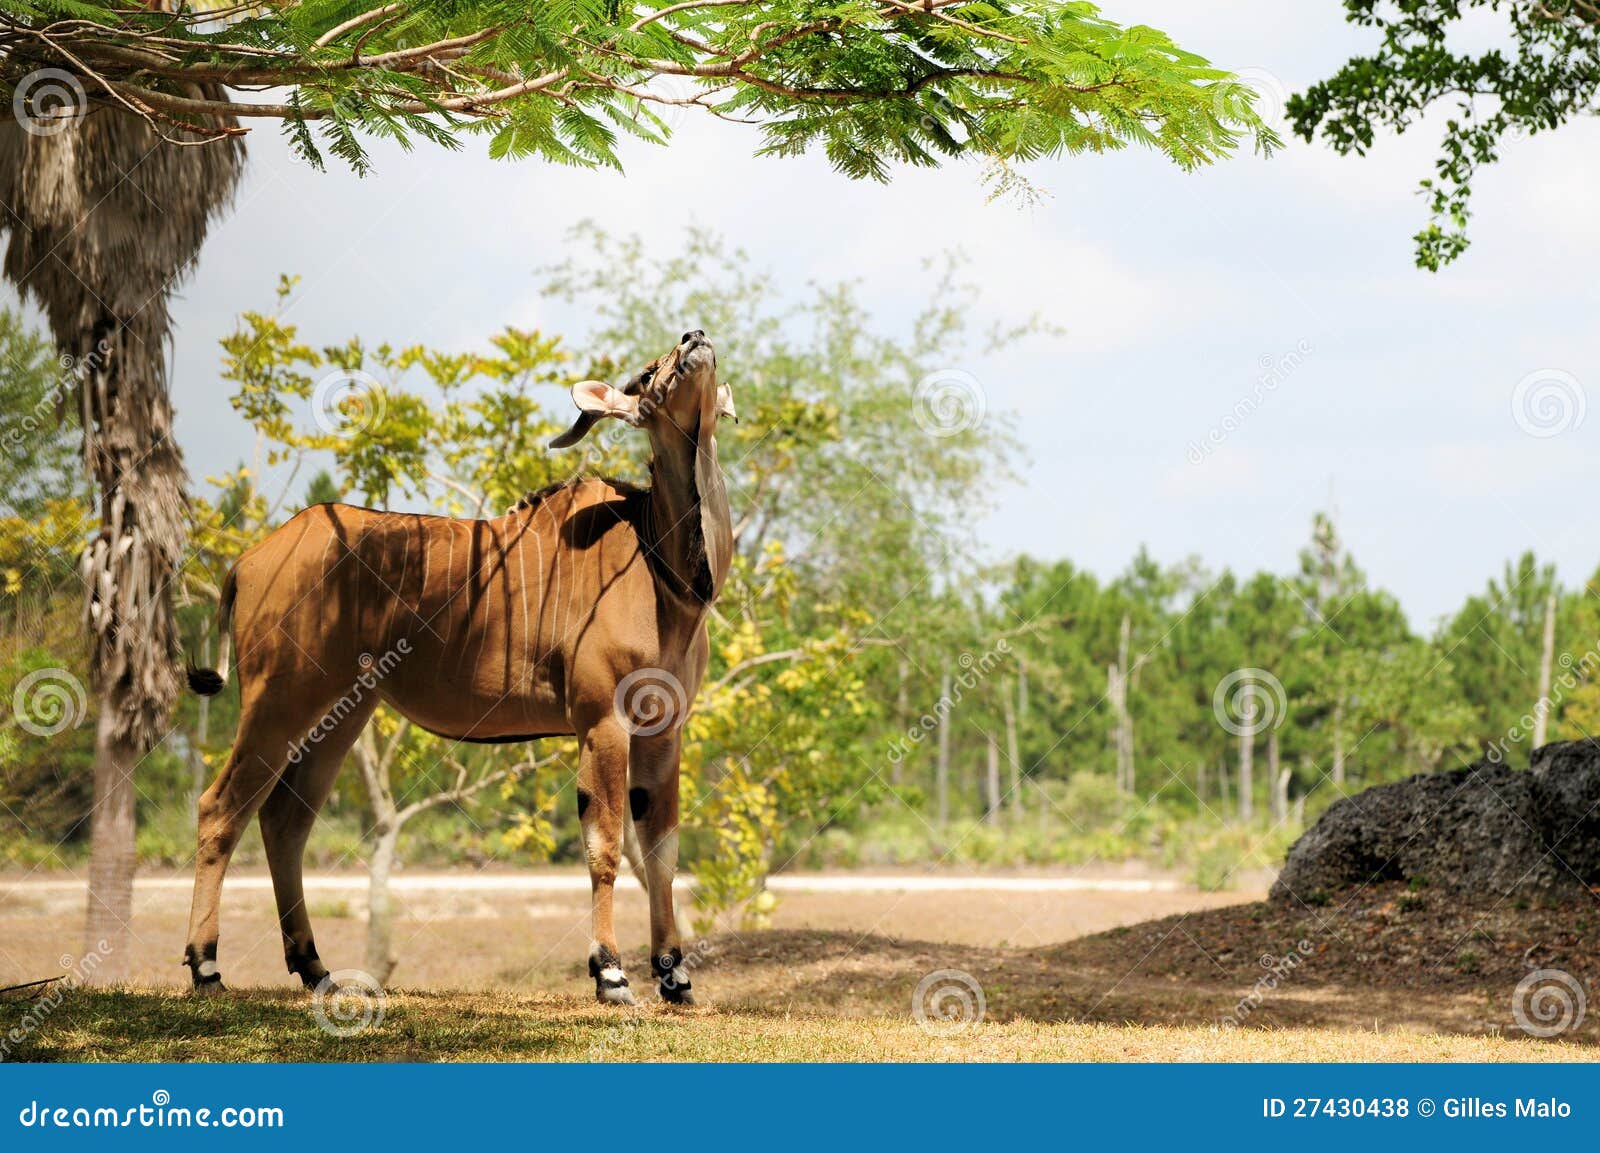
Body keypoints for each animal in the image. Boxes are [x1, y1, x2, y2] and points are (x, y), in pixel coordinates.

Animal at [182, 331, 735, 1005]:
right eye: (650, 371)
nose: (694, 338)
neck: (660, 561)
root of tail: (249, 560)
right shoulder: (603, 721)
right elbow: (605, 844)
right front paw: (610, 973)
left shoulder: (663, 730)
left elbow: (662, 851)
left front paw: (675, 975)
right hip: (278, 702)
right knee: (221, 808)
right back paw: (207, 968)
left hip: (340, 714)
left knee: (285, 820)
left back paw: (315, 968)